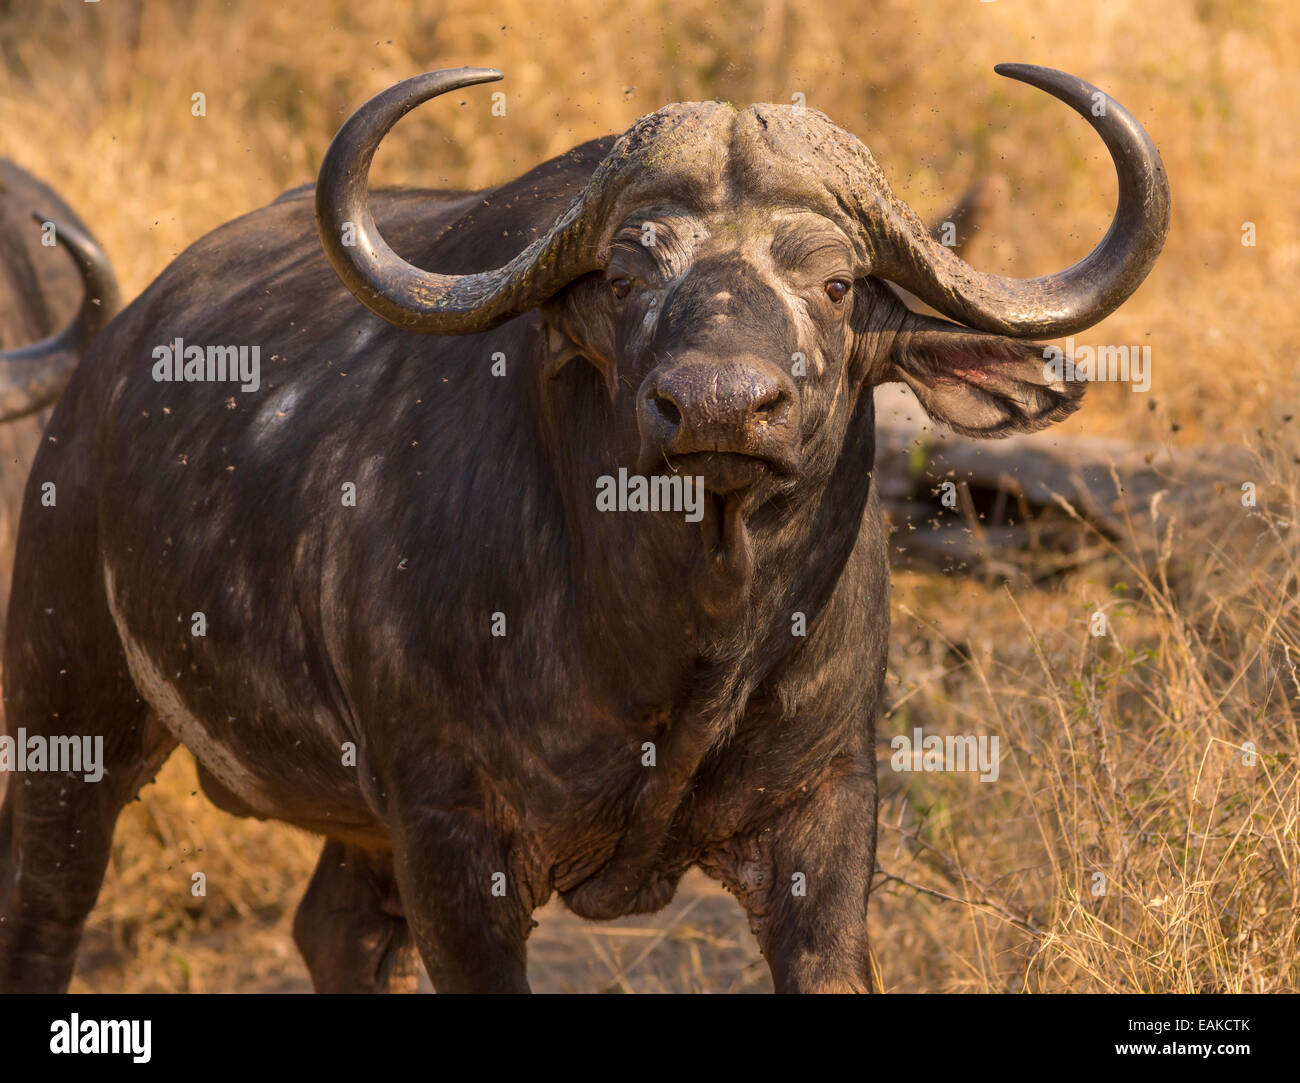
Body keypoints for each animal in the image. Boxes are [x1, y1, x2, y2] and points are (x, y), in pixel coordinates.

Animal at [0, 64, 1169, 992]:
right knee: (45, 912)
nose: (717, 407)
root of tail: (102, 370)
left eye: (837, 284)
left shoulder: (829, 811)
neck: (682, 642)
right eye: (622, 277)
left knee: (334, 929)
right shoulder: (452, 842)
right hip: (66, 715)